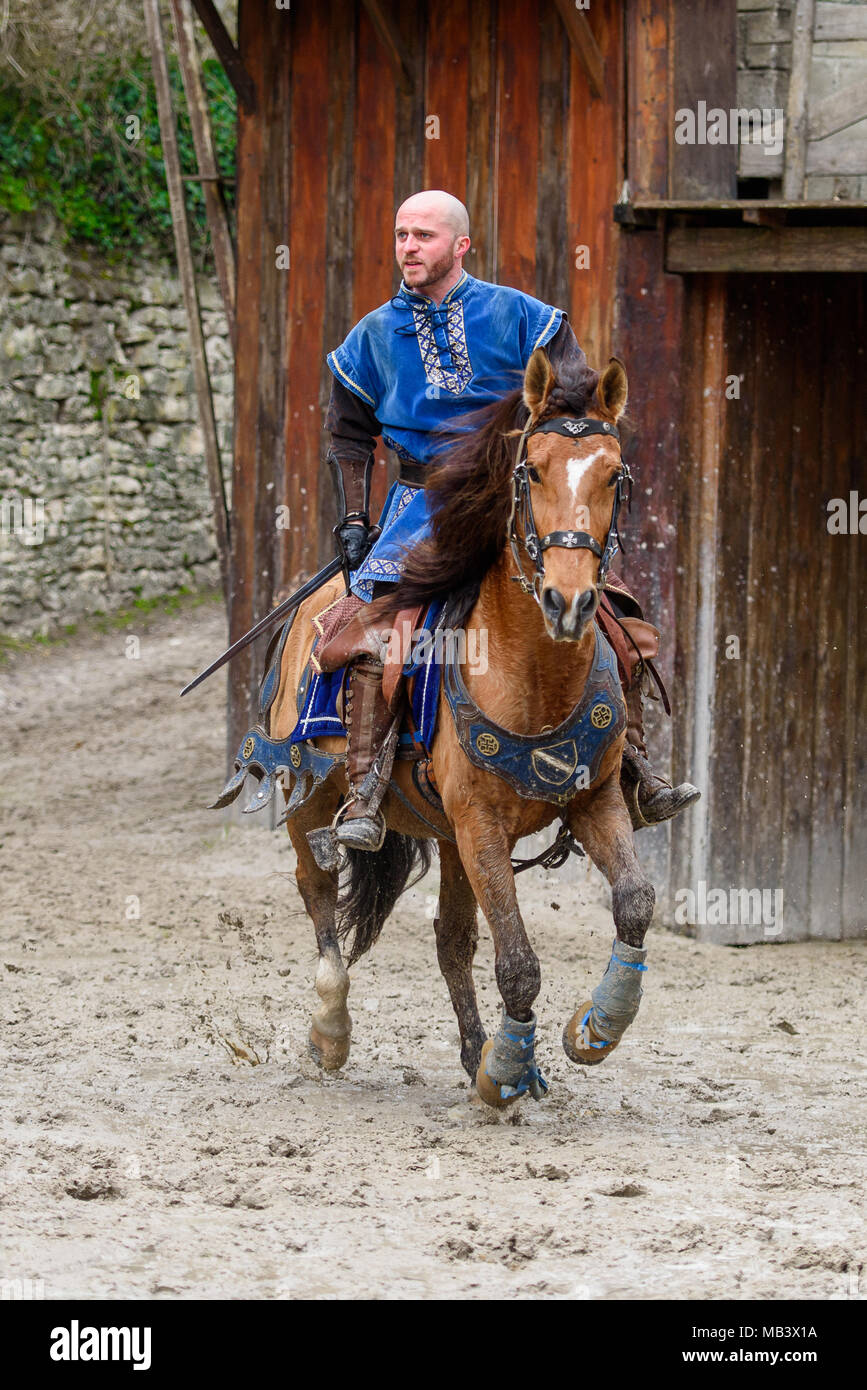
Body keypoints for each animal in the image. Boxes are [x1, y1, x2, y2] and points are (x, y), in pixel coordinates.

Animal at [226, 348, 655, 1107]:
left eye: (614, 474)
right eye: (531, 470)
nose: (569, 601)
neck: (531, 674)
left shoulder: (592, 799)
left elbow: (633, 904)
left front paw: (593, 1029)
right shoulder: (479, 822)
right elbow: (518, 962)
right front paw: (507, 1067)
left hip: (448, 836)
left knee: (451, 941)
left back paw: (475, 1047)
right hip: (308, 793)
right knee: (318, 893)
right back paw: (331, 1030)